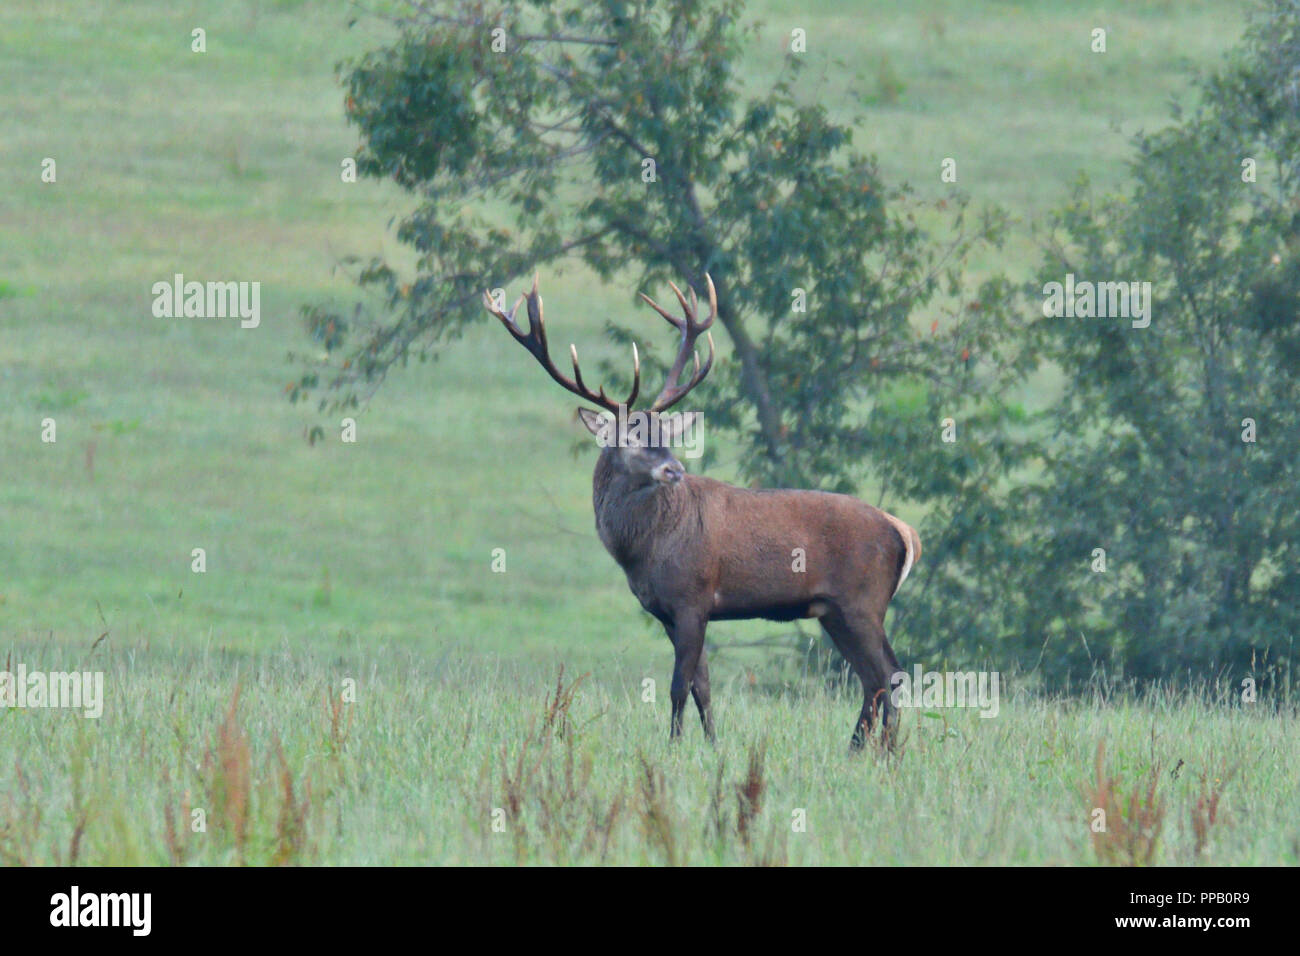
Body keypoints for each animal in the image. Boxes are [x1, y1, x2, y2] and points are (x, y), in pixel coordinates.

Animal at [483, 273, 921, 749]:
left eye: (665, 433)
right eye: (629, 436)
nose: (674, 469)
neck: (641, 552)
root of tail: (903, 531)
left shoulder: (693, 595)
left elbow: (679, 684)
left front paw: (673, 747)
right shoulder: (667, 610)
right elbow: (702, 684)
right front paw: (712, 744)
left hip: (862, 600)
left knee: (888, 674)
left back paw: (881, 752)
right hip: (836, 611)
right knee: (875, 678)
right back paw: (863, 750)